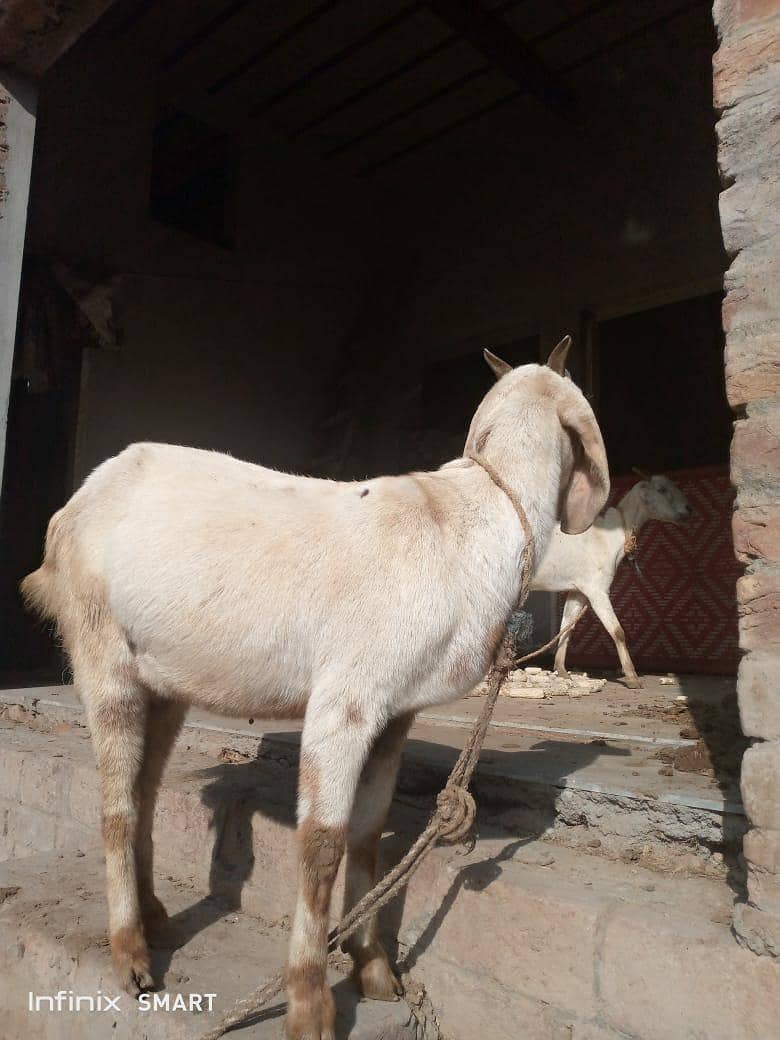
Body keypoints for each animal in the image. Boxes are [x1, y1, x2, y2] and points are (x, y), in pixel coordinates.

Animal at [21, 337, 608, 1040]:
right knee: (115, 806)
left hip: (162, 680)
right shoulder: (345, 700)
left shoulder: (396, 711)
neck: (477, 514)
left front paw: (374, 968)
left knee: (144, 790)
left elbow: (368, 833)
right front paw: (309, 1003)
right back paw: (130, 955)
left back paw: (156, 916)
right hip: (99, 645)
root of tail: (73, 509)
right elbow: (321, 846)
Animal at [532, 475, 692, 688]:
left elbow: (567, 627)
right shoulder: (597, 590)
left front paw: (562, 670)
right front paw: (632, 677)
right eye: (662, 489)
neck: (609, 536)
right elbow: (617, 631)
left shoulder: (578, 590)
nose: (689, 509)